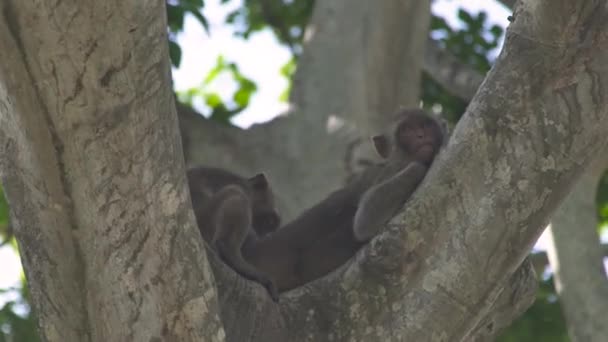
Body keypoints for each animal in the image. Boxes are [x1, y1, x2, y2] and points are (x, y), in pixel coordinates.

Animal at [242, 108, 446, 292]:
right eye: (407, 130)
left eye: (426, 125)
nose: (421, 135)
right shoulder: (387, 172)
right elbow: (365, 222)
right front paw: (421, 166)